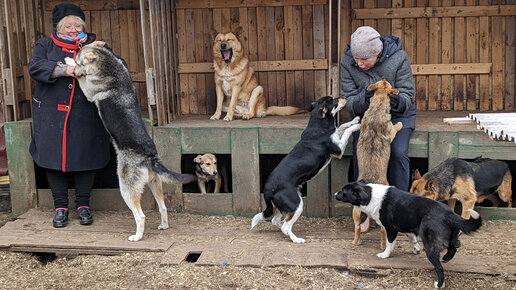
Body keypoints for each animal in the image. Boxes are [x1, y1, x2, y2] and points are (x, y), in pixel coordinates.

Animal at [67, 42, 197, 242]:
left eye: (79, 61)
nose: (74, 69)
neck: (111, 66)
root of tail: (149, 156)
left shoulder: (89, 91)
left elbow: (84, 82)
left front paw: (68, 63)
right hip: (155, 183)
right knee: (163, 207)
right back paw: (163, 226)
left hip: (126, 187)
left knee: (140, 216)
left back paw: (137, 237)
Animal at [252, 96, 360, 244]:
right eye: (334, 100)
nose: (343, 97)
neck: (318, 125)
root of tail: (268, 189)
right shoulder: (339, 150)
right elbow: (346, 131)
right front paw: (357, 125)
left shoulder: (336, 136)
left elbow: (342, 127)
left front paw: (355, 120)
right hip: (296, 204)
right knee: (286, 225)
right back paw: (296, 239)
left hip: (284, 206)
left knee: (276, 221)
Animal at [336, 181, 482, 288]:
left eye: (344, 192)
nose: (335, 193)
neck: (370, 195)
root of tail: (449, 214)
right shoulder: (408, 226)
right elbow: (412, 238)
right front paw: (415, 248)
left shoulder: (390, 228)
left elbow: (389, 244)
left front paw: (385, 255)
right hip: (450, 236)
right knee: (455, 245)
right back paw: (446, 258)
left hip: (430, 246)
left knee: (440, 268)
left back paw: (440, 284)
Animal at [354, 78, 404, 248]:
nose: (384, 77)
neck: (377, 109)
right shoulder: (391, 132)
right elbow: (395, 128)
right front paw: (399, 124)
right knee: (384, 231)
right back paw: (383, 245)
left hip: (356, 211)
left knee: (357, 227)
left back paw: (356, 242)